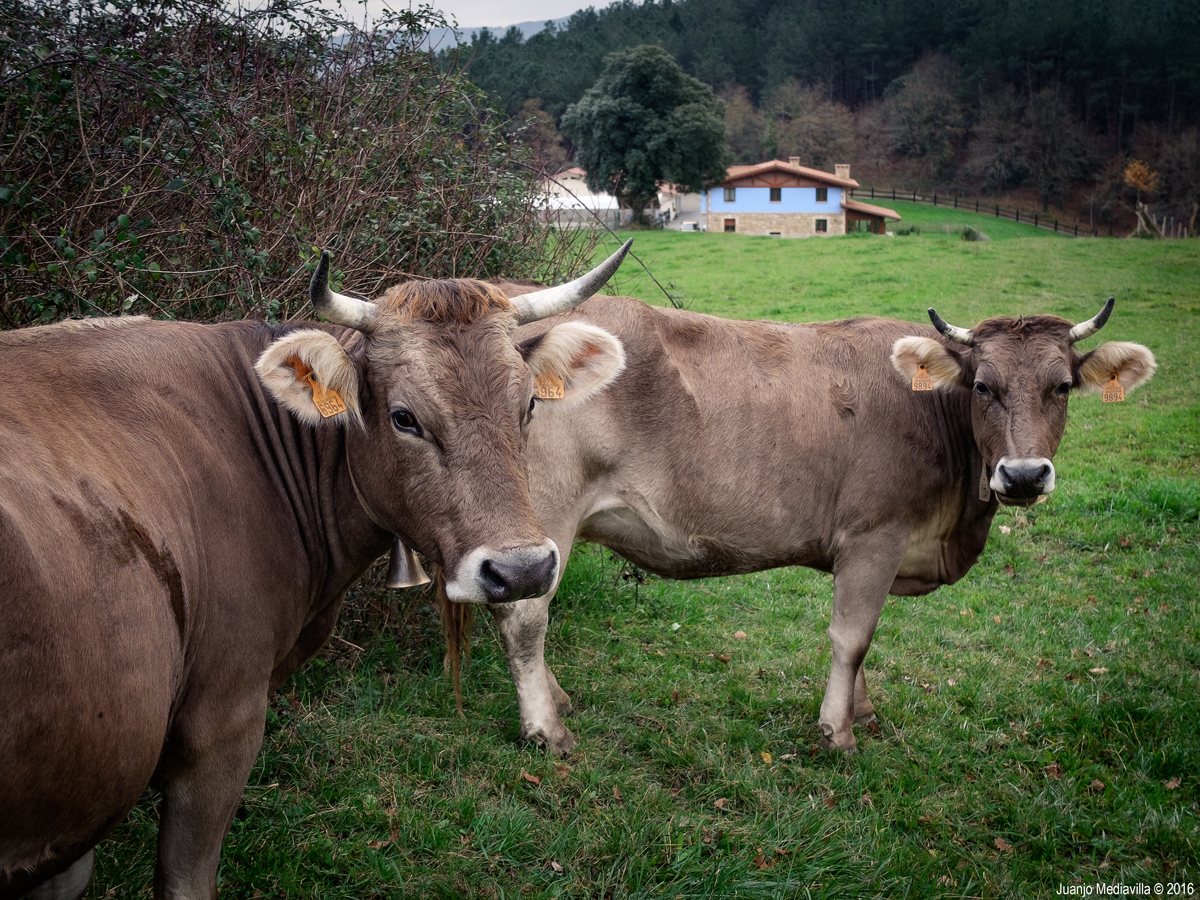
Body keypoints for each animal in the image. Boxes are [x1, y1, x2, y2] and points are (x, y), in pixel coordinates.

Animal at [444, 293, 1155, 756]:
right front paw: (837, 733)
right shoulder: (874, 535)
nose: (1025, 475)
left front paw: (862, 712)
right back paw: (547, 730)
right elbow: (852, 637)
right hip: (541, 519)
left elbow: (865, 636)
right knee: (524, 616)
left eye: (1062, 386)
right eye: (983, 385)